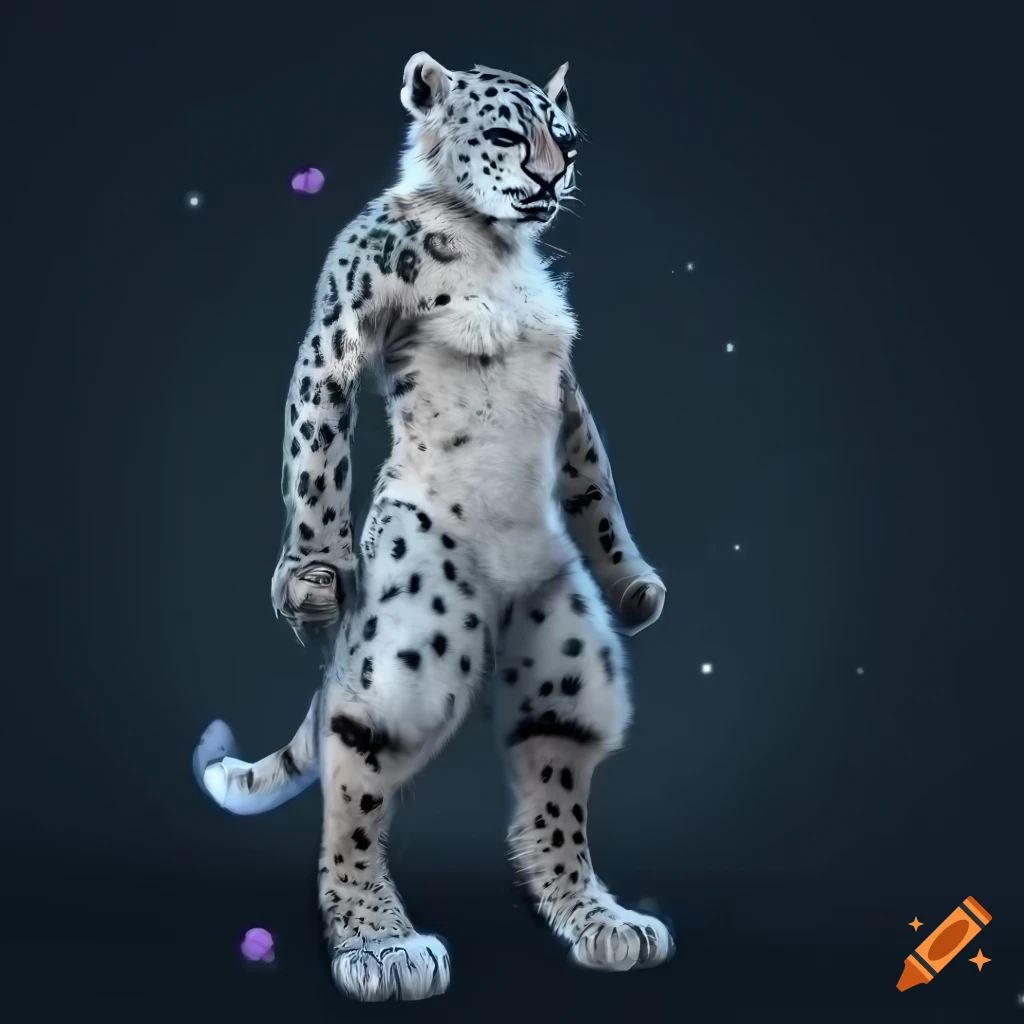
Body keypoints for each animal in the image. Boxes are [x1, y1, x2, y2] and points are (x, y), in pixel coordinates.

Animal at [193, 51, 672, 1002]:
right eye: (506, 134)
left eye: (564, 138)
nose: (550, 179)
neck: (497, 242)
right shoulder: (345, 306)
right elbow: (318, 428)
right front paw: (312, 576)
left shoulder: (566, 393)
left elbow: (588, 465)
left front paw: (636, 582)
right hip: (413, 629)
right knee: (361, 766)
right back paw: (382, 946)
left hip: (562, 637)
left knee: (556, 759)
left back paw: (598, 918)